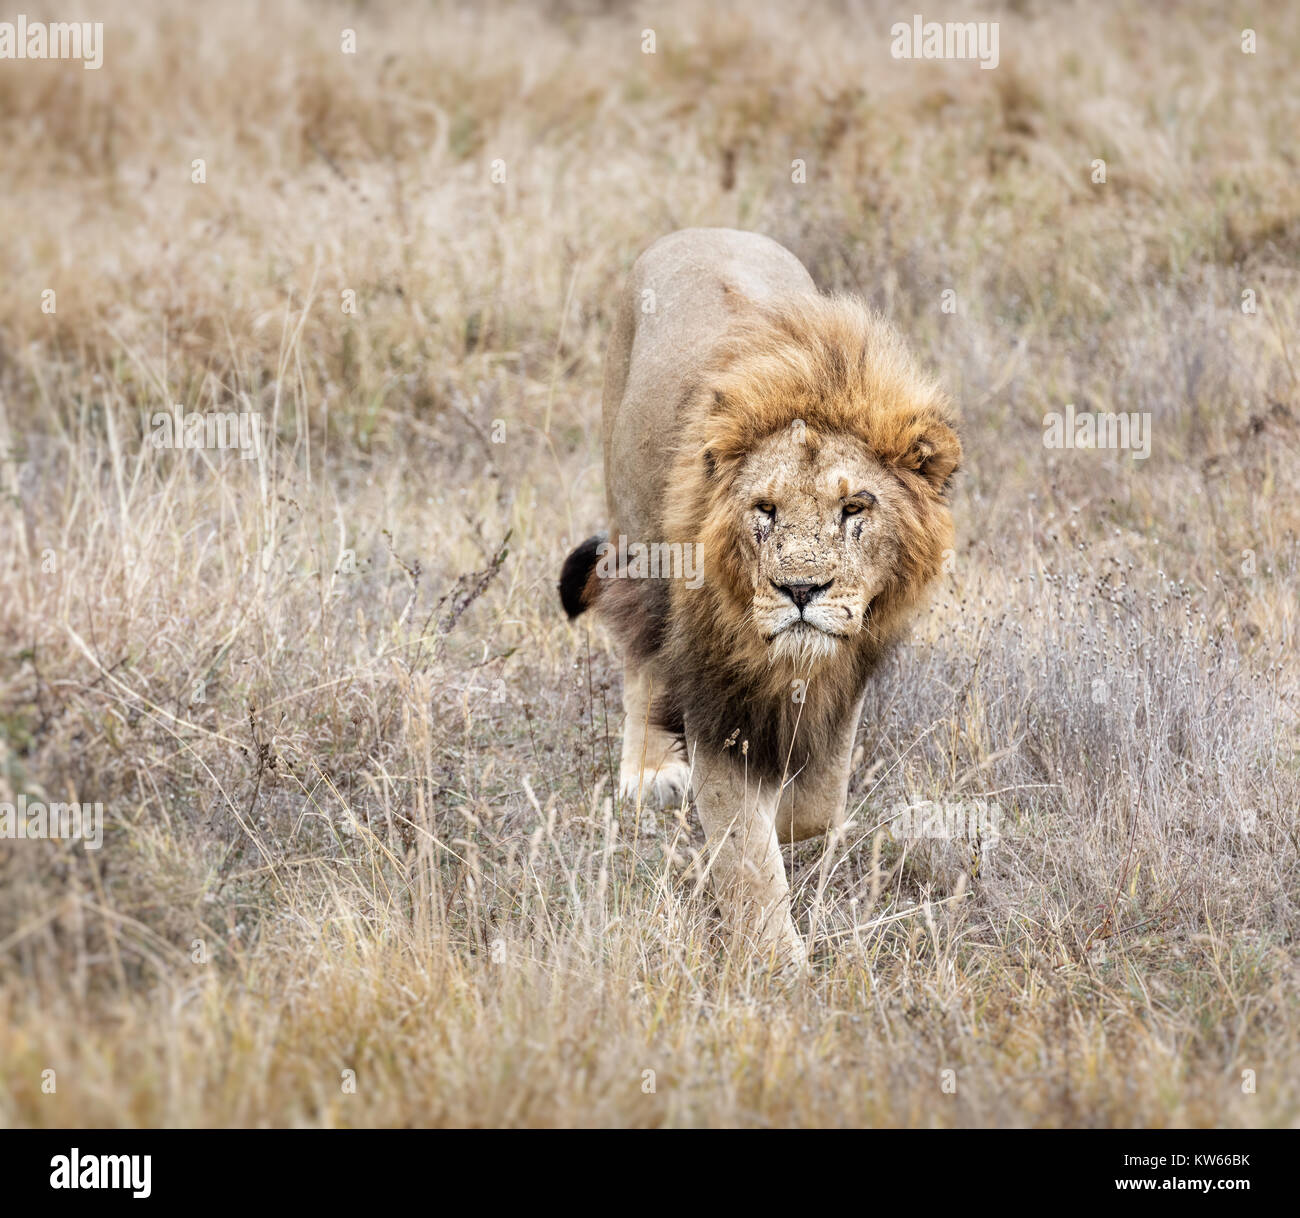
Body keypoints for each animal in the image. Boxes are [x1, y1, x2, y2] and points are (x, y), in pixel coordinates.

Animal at [559, 228, 961, 968]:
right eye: (764, 510)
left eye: (854, 508)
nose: (800, 589)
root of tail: (699, 230)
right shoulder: (715, 697)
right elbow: (747, 851)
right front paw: (776, 966)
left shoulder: (846, 674)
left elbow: (815, 805)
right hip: (632, 523)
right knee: (638, 649)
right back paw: (648, 770)